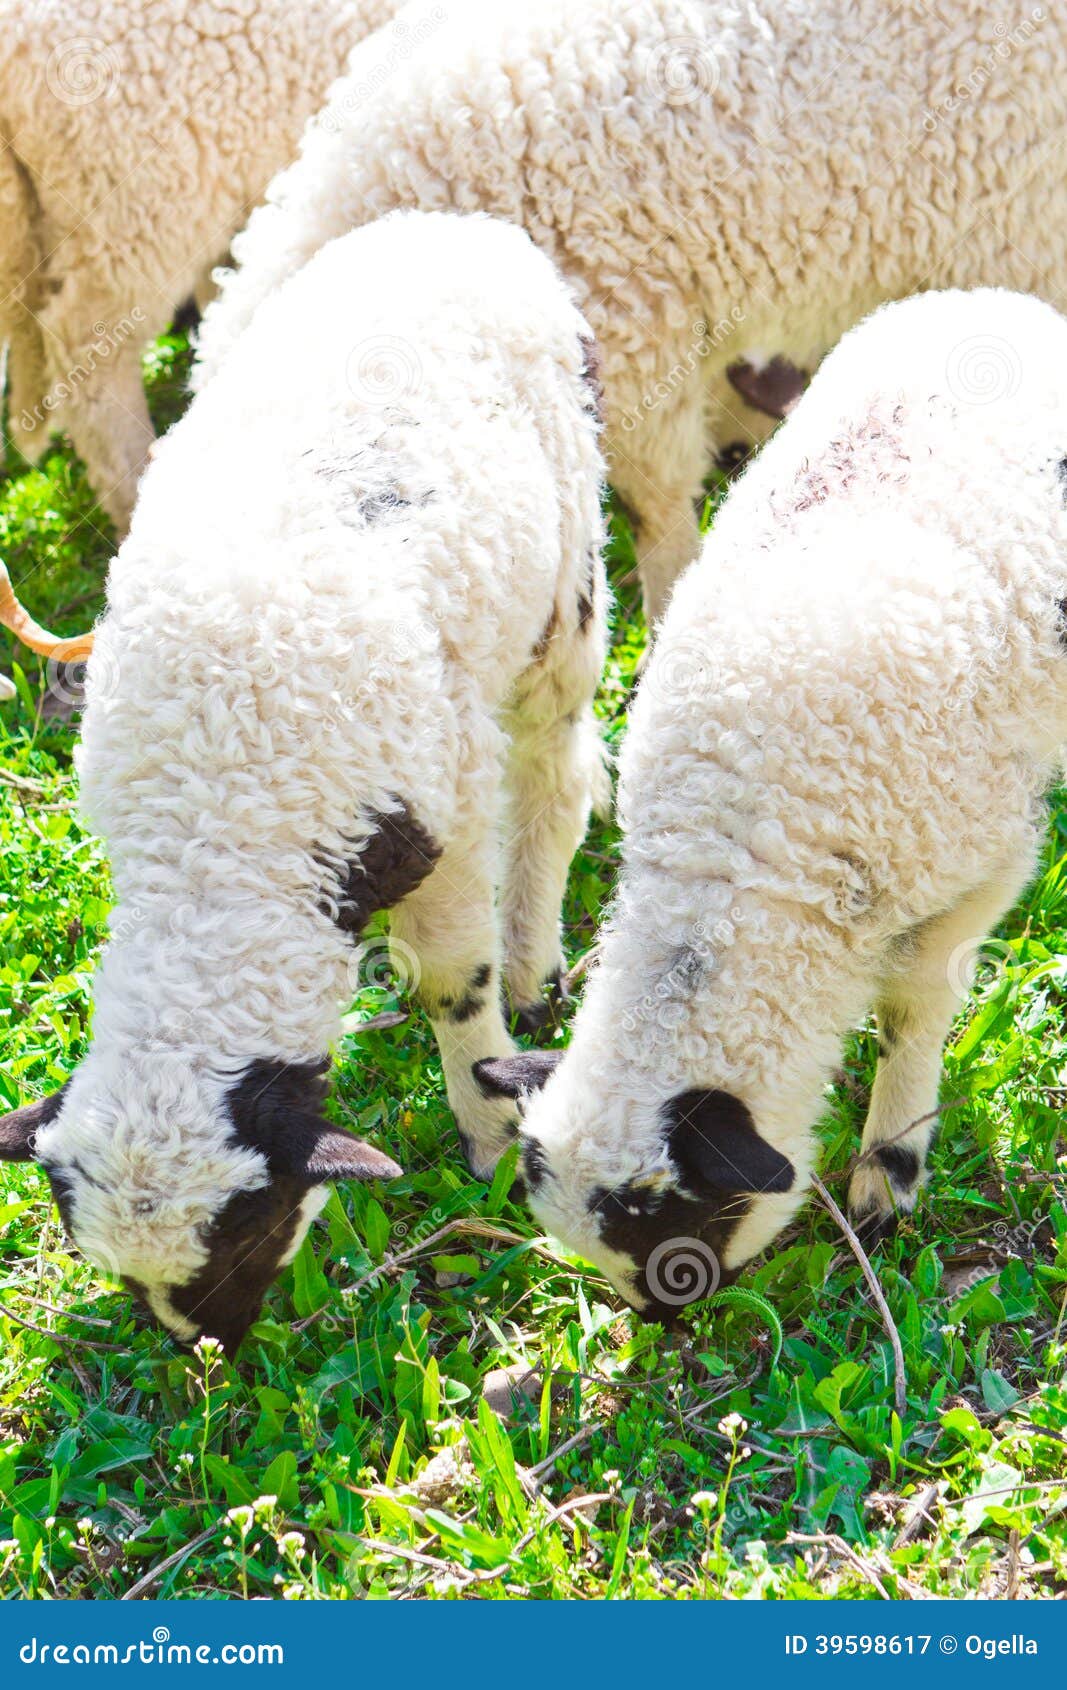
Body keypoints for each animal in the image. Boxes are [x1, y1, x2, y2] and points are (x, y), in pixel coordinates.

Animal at [0, 210, 608, 1355]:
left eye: (245, 1234)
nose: (208, 1351)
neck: (219, 833)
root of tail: (457, 226)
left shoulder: (441, 820)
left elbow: (451, 984)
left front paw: (488, 1131)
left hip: (567, 571)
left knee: (555, 762)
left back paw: (533, 955)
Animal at [475, 287, 1067, 1320]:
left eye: (676, 1220)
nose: (665, 1321)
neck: (741, 844)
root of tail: (996, 301)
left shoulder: (979, 869)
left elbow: (914, 1007)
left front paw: (890, 1167)